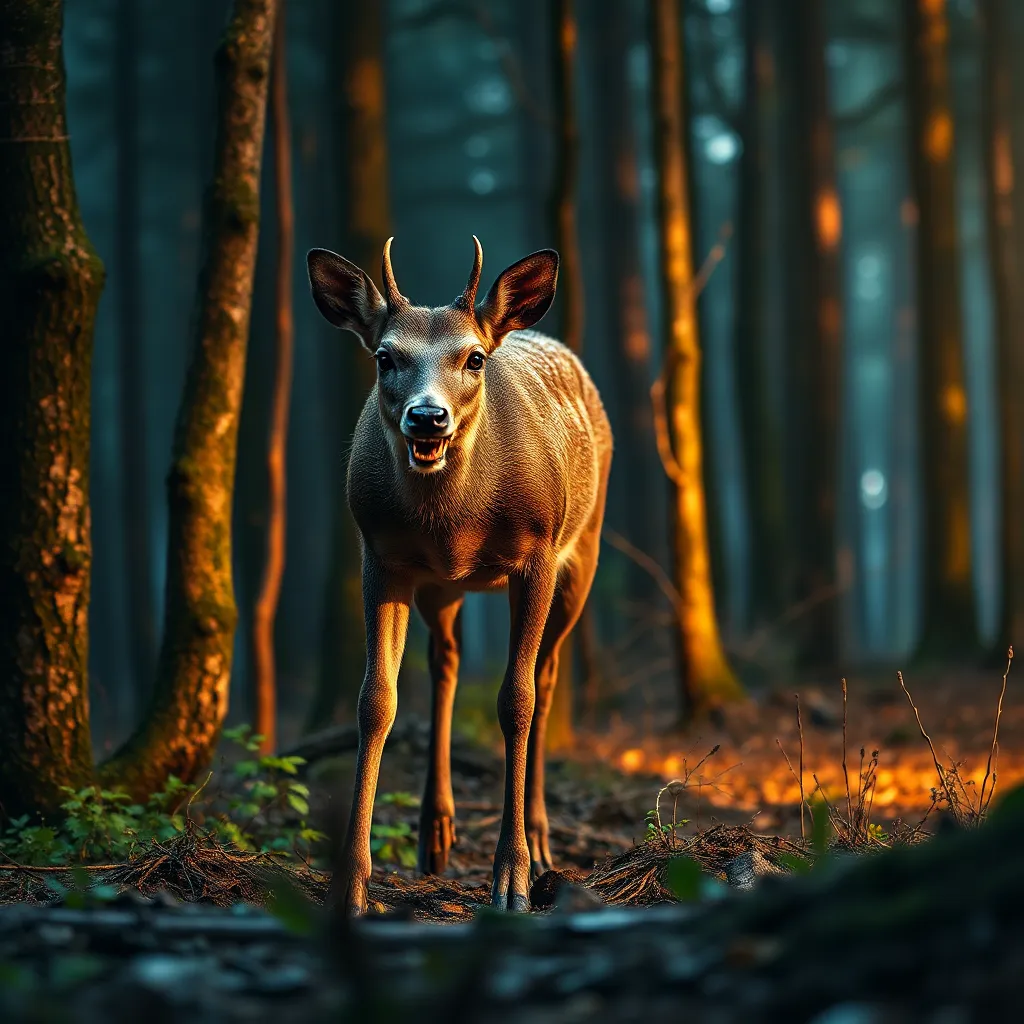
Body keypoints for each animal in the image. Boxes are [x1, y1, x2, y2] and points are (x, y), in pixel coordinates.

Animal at [306, 236, 612, 915]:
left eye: (473, 358)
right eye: (385, 357)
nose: (428, 417)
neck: (460, 522)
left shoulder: (537, 554)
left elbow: (517, 699)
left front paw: (512, 878)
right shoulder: (380, 554)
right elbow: (376, 701)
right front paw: (350, 883)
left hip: (582, 554)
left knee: (548, 674)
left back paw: (541, 837)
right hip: (442, 587)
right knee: (444, 660)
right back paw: (436, 830)